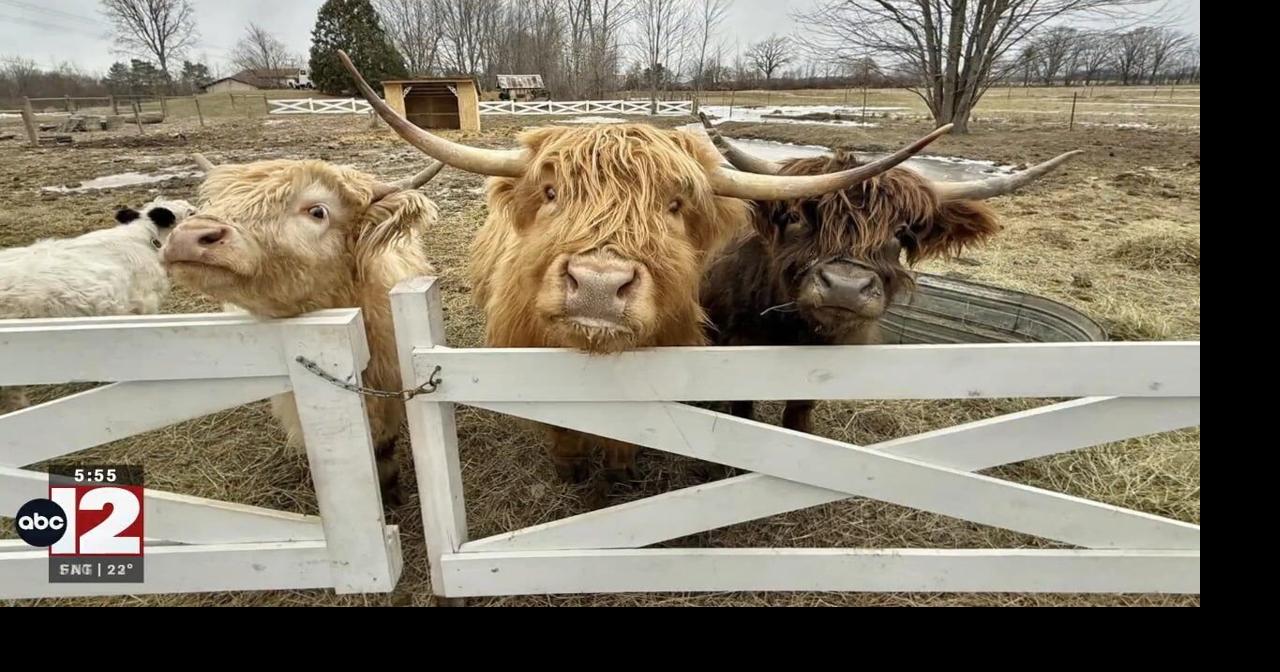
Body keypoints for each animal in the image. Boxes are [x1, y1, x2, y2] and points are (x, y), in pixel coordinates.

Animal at [340, 50, 953, 489]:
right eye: (552, 193)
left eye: (675, 205)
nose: (597, 286)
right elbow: (564, 433)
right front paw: (571, 472)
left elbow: (624, 442)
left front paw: (619, 473)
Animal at [698, 115, 1081, 433]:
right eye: (796, 217)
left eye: (901, 232)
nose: (845, 288)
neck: (797, 334)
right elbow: (743, 410)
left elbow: (799, 412)